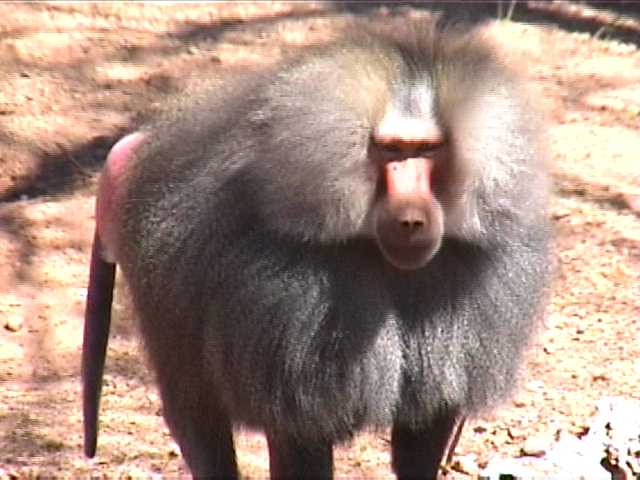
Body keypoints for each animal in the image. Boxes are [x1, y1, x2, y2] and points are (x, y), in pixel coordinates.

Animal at [82, 19, 551, 479]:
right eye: (390, 149)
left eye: (428, 150)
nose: (412, 220)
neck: (378, 256)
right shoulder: (292, 308)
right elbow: (300, 429)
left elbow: (426, 424)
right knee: (197, 412)